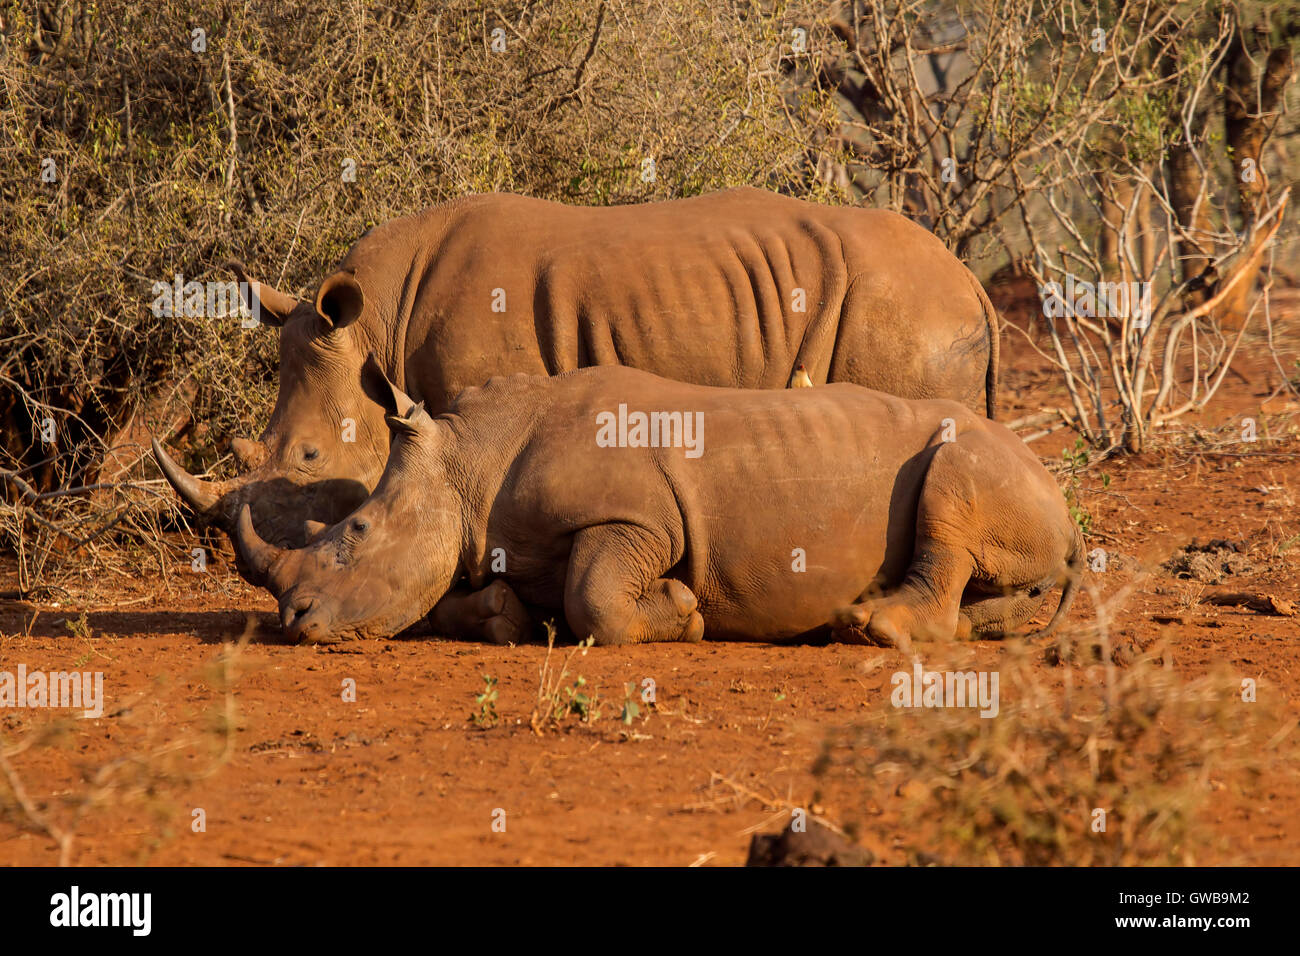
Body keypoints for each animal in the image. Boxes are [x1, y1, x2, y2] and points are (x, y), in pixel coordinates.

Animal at [232, 358, 1080, 649]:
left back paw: (869, 627)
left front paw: (682, 611)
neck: (470, 463)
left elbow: (596, 599)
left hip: (991, 457)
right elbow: (467, 598)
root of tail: (1068, 509)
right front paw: (506, 618)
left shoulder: (639, 520)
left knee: (952, 483)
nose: (292, 620)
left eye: (357, 530)